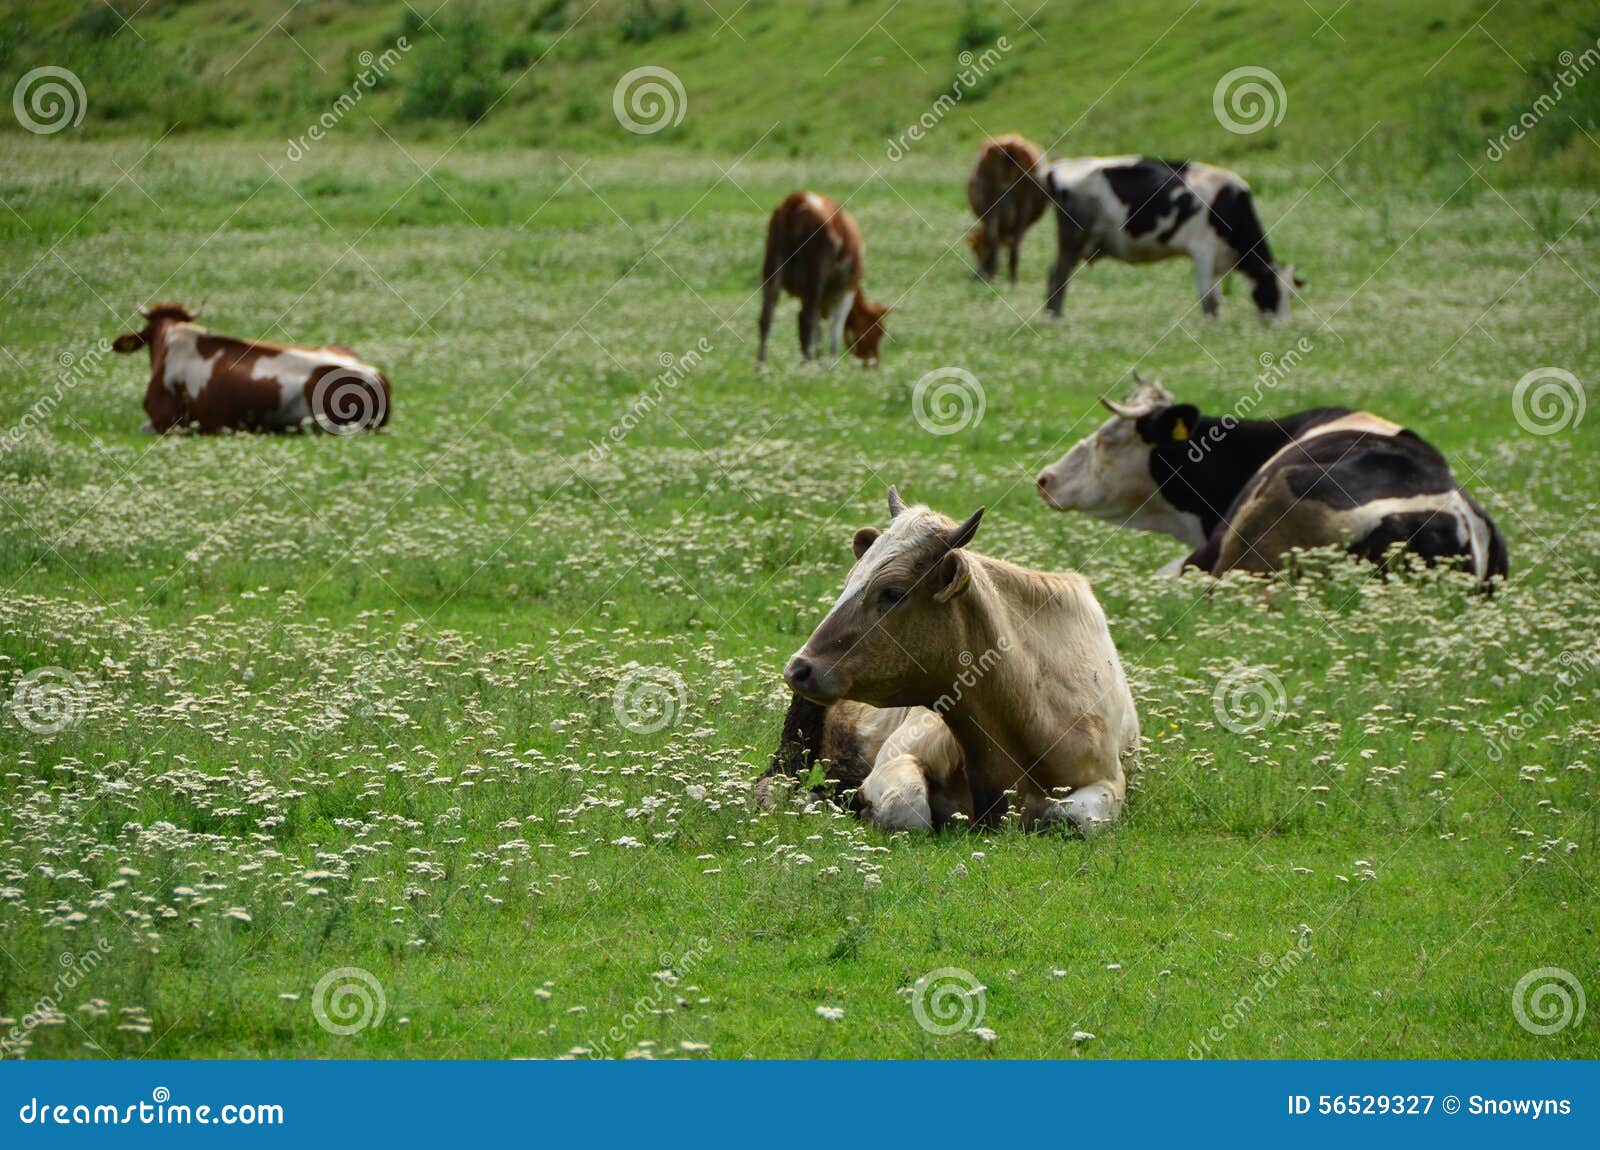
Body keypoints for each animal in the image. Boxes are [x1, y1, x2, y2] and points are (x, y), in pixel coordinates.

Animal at [758, 191, 890, 365]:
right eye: (877, 332)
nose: (874, 363)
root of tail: (801, 197)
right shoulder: (846, 291)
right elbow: (835, 330)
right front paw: (830, 364)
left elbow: (818, 331)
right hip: (815, 276)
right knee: (805, 320)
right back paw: (806, 367)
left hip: (772, 271)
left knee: (766, 320)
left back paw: (760, 367)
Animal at [771, 487, 1141, 833]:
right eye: (849, 582)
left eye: (893, 593)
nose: (798, 669)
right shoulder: (895, 755)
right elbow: (906, 807)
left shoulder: (1108, 780)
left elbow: (1075, 817)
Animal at [966, 133, 1048, 283]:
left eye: (976, 249)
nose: (976, 276)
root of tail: (1009, 148)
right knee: (1010, 243)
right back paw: (1009, 279)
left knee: (996, 240)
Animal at [1039, 156, 1301, 320]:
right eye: (1271, 290)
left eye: (1290, 294)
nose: (1281, 327)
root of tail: (1060, 166)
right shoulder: (1203, 249)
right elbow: (1208, 296)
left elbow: (1215, 296)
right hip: (1073, 237)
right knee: (1059, 275)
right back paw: (1054, 318)